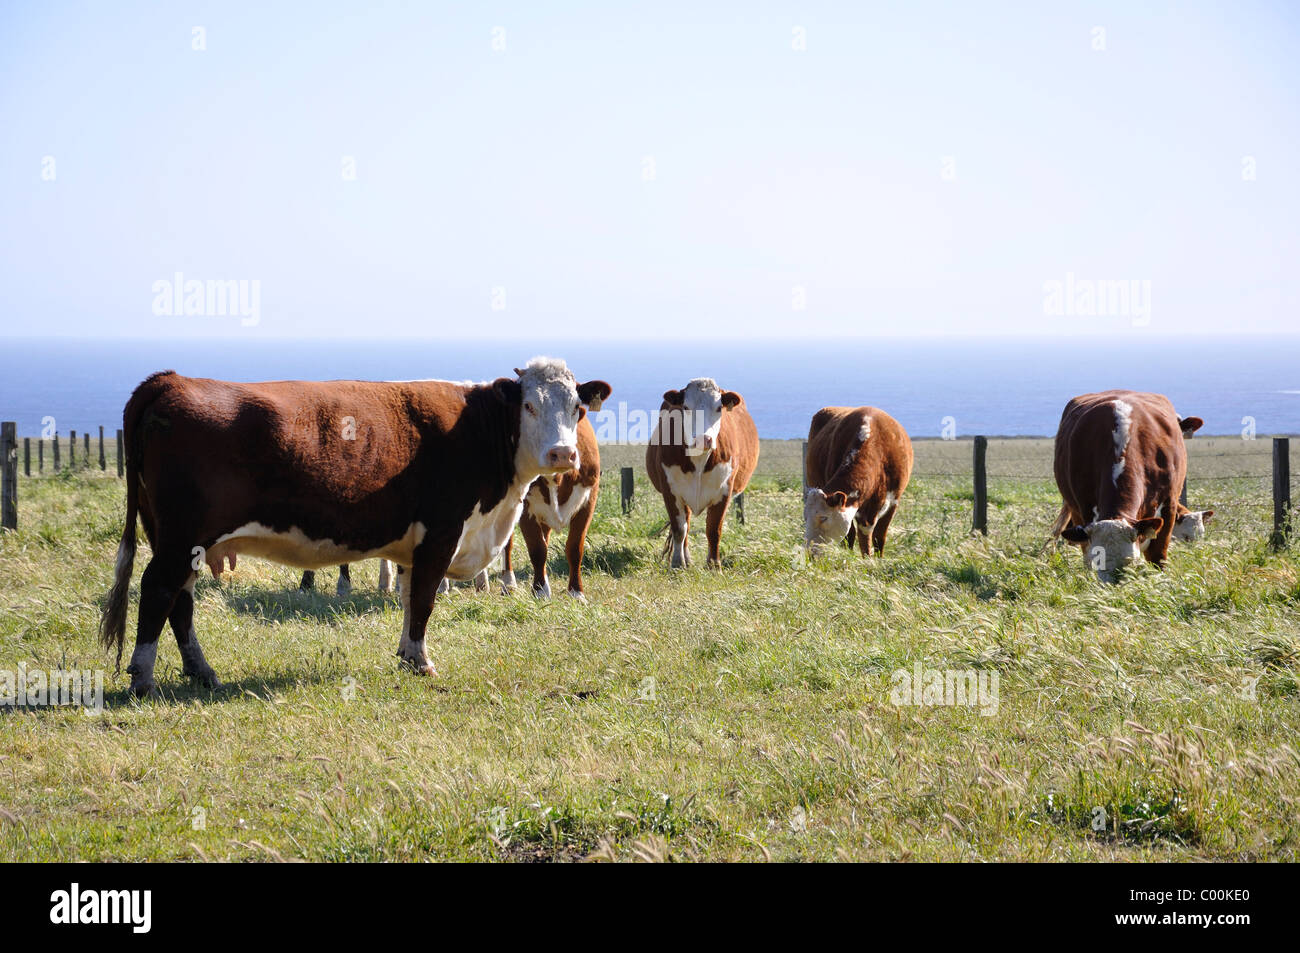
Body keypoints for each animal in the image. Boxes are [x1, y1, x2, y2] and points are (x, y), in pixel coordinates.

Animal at [500, 408, 603, 599]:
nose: (561, 454)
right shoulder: (525, 508)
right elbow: (538, 549)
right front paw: (540, 591)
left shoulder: (588, 502)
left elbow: (575, 547)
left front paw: (576, 592)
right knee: (506, 543)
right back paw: (508, 585)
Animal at [645, 378, 758, 568]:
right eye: (686, 407)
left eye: (719, 408)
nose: (703, 439)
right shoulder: (670, 491)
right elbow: (679, 528)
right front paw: (677, 564)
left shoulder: (724, 492)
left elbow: (713, 529)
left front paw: (714, 565)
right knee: (686, 526)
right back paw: (687, 559)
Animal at [802, 406, 913, 556]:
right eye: (805, 517)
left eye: (824, 517)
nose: (810, 551)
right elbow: (854, 535)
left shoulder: (893, 502)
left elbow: (878, 536)